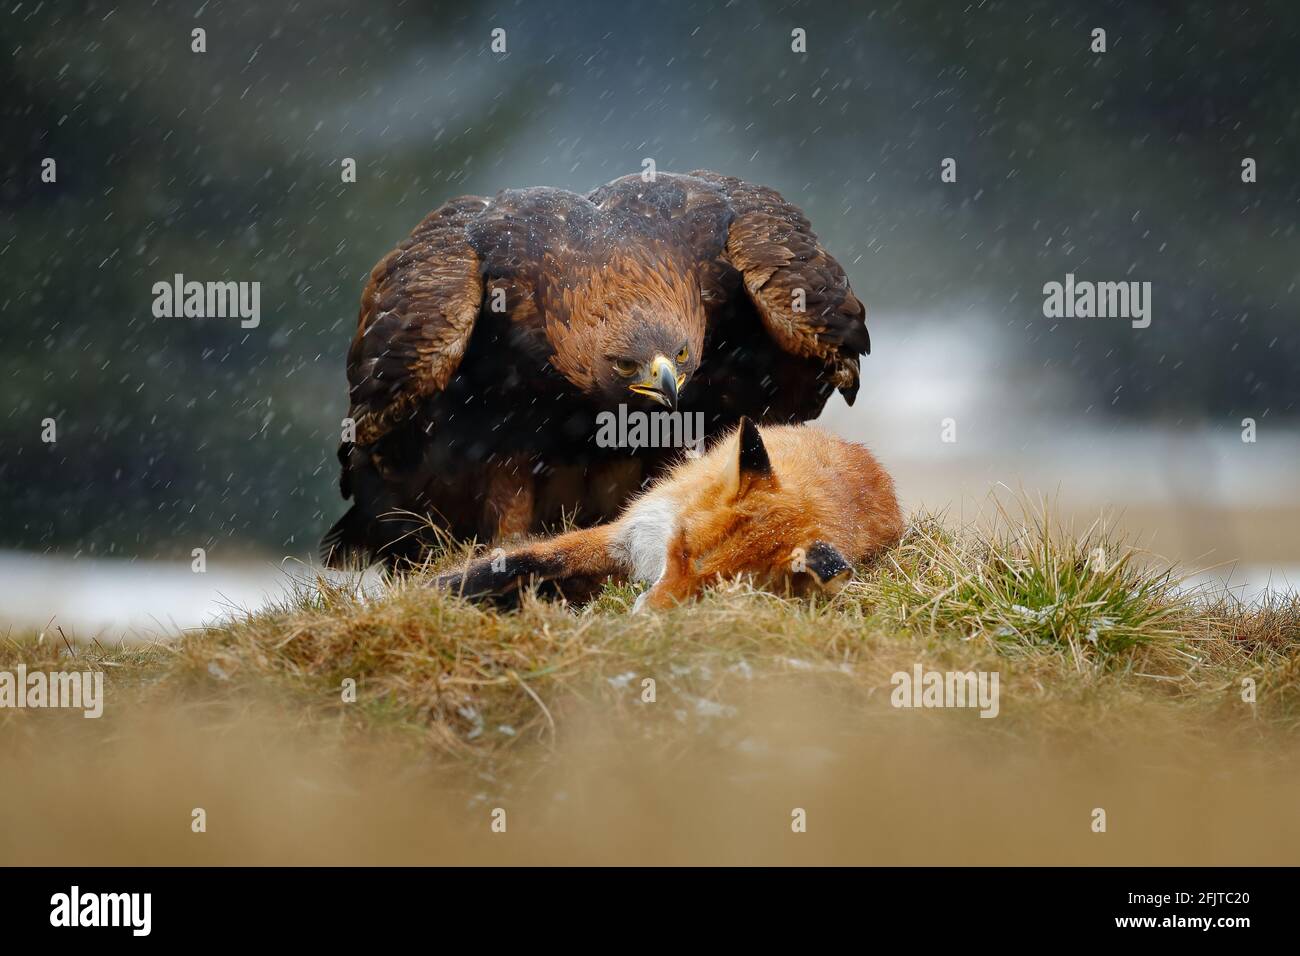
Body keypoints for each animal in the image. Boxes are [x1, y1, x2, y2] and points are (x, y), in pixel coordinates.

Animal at [432, 418, 904, 610]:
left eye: (713, 591)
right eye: (680, 551)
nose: (643, 614)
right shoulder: (628, 534)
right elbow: (524, 560)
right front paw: (439, 589)